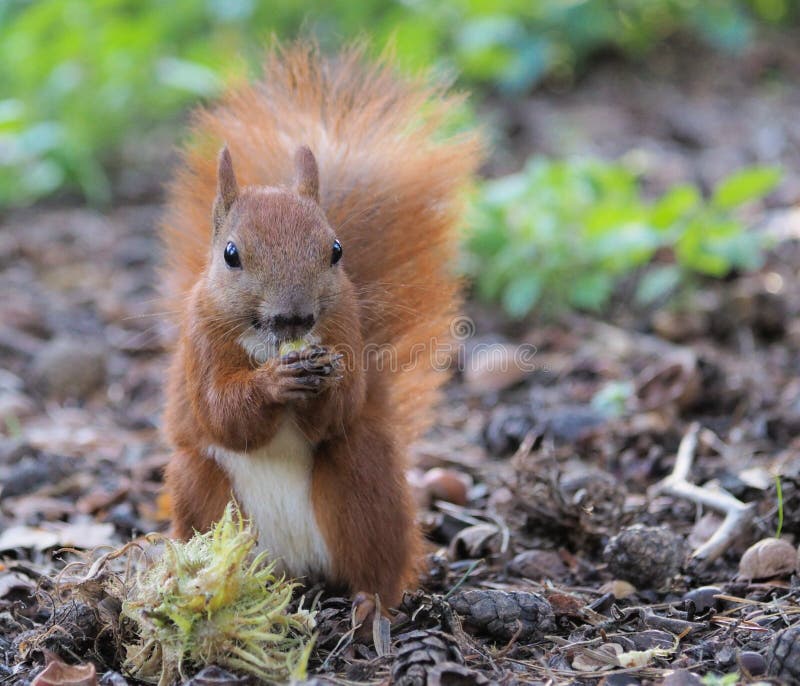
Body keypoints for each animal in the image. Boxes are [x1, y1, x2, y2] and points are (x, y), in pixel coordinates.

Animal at [160, 43, 481, 611]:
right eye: (231, 255)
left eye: (335, 250)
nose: (295, 316)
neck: (272, 343)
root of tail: (294, 565)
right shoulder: (200, 339)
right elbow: (221, 413)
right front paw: (272, 383)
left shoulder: (346, 326)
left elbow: (340, 409)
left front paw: (323, 380)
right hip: (199, 486)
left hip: (364, 483)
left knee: (376, 564)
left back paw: (371, 605)